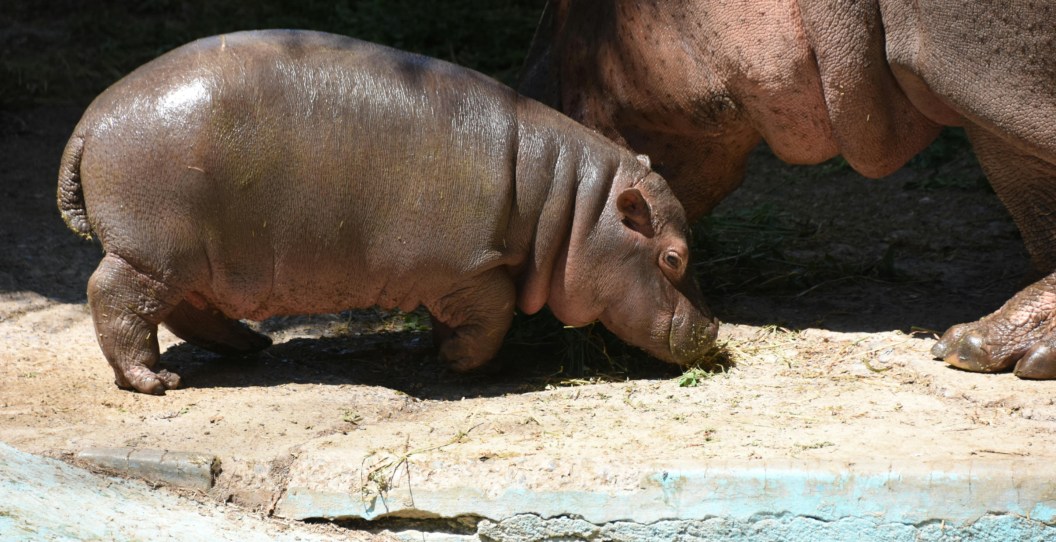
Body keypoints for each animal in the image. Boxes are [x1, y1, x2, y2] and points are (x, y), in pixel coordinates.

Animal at [58, 30, 717, 394]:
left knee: (186, 310)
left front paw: (441, 350)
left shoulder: (458, 277)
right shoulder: (468, 266)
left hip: (195, 258)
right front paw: (456, 362)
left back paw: (251, 347)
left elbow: (465, 316)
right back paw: (155, 382)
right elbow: (494, 314)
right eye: (674, 257)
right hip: (153, 252)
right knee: (114, 297)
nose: (714, 330)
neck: (571, 204)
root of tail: (88, 122)